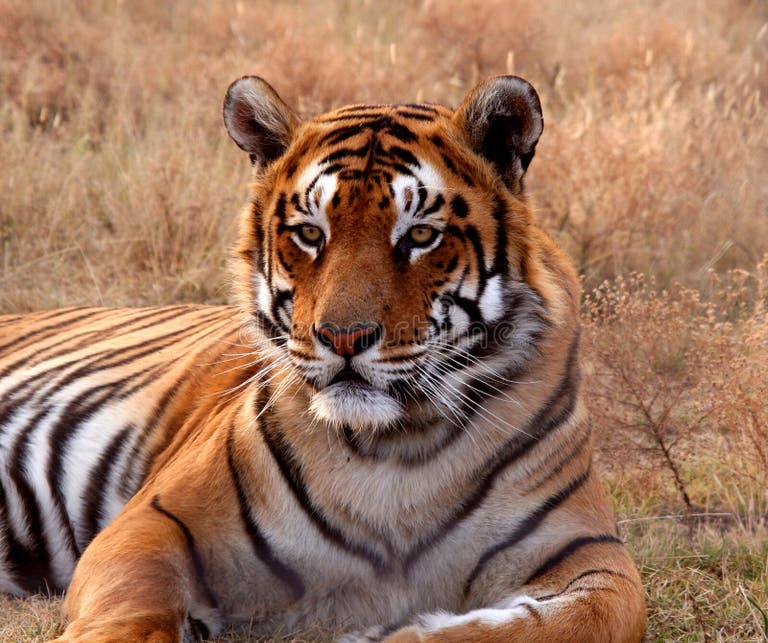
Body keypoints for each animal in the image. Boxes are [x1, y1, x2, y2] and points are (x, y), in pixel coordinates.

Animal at [0, 75, 646, 642]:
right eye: (311, 234)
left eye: (419, 235)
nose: (343, 337)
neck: (397, 453)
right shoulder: (152, 522)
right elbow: (133, 606)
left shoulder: (593, 554)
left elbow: (569, 623)